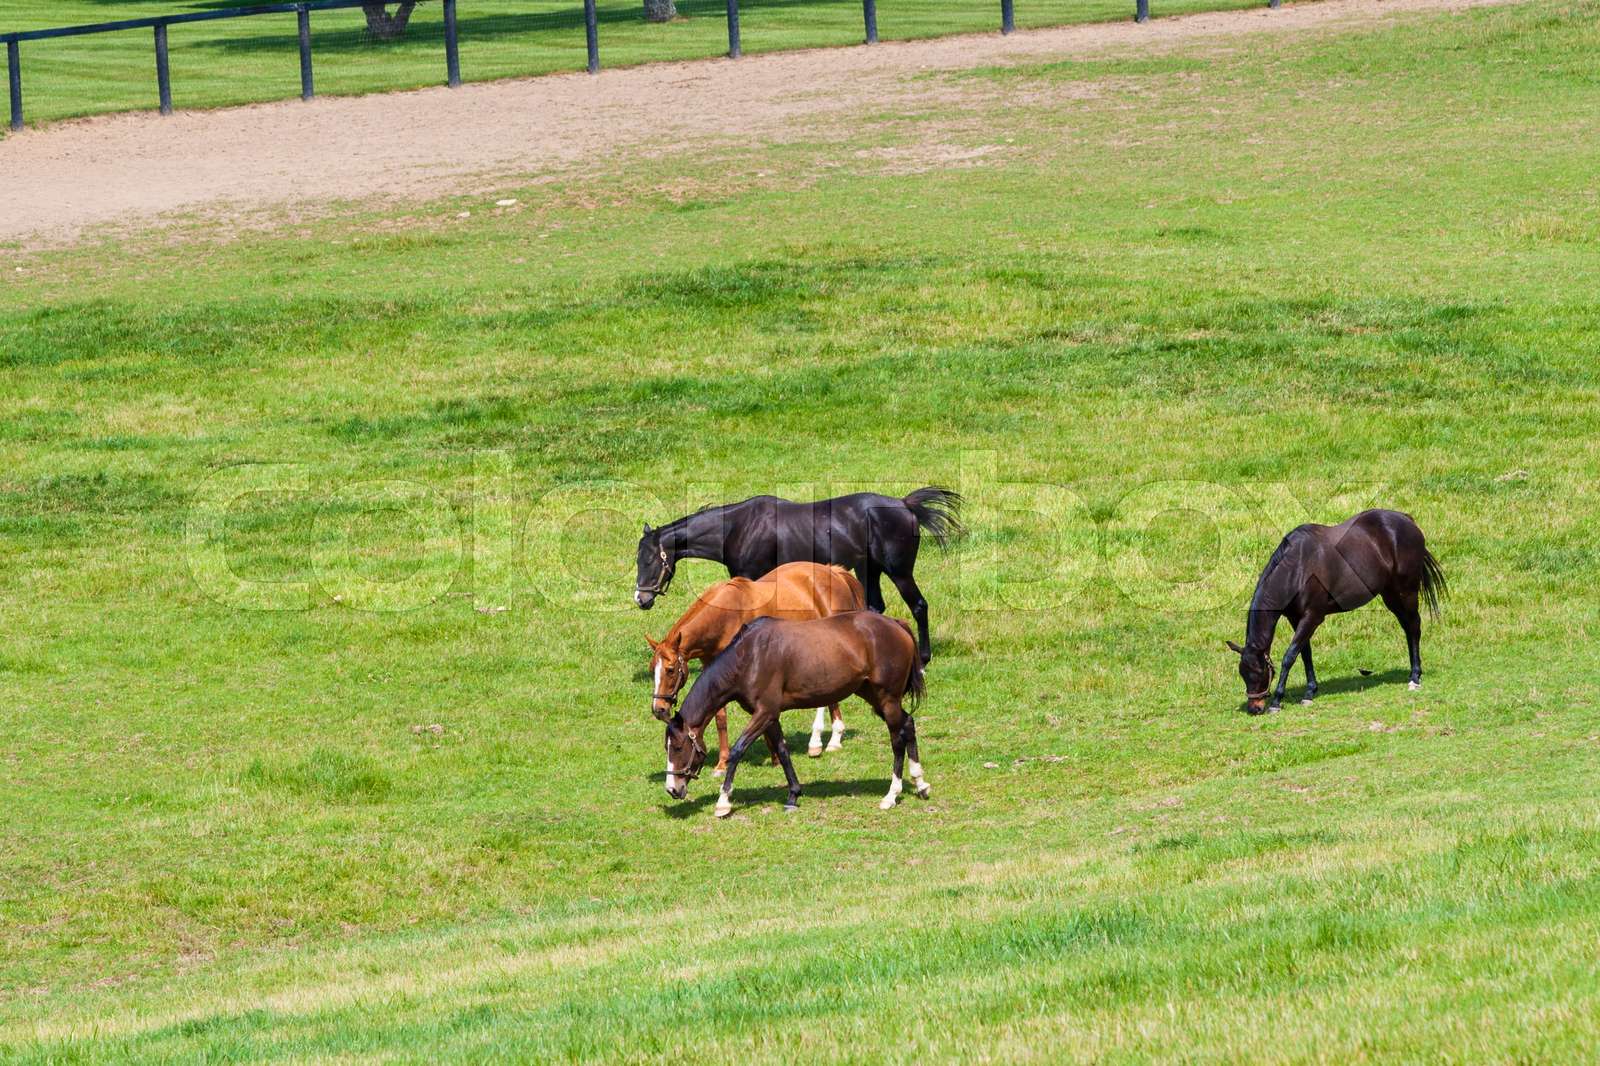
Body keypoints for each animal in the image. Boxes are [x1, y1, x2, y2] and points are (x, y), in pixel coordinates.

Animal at [633, 488, 962, 665]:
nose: (641, 598)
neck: (738, 527)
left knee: (919, 605)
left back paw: (924, 657)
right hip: (868, 569)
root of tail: (906, 505)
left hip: (899, 572)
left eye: (648, 559)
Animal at [646, 562, 866, 772]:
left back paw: (827, 741)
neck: (725, 616)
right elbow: (720, 717)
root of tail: (835, 572)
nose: (659, 709)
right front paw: (722, 763)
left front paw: (775, 756)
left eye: (670, 670)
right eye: (652, 670)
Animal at [663, 611, 929, 818]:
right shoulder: (770, 717)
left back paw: (891, 795)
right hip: (874, 697)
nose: (672, 789)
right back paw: (920, 783)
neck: (749, 657)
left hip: (887, 699)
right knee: (908, 724)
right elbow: (782, 750)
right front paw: (793, 795)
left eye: (677, 747)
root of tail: (897, 624)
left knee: (897, 741)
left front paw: (723, 802)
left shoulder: (763, 713)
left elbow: (737, 751)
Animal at [1227, 509, 1446, 714]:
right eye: (1242, 674)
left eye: (1259, 672)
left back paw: (1415, 677)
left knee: (1414, 627)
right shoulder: (1296, 618)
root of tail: (1407, 520)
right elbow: (1305, 653)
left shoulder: (1312, 617)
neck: (1298, 568)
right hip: (1391, 595)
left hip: (1406, 592)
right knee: (1408, 628)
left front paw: (1276, 701)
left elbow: (1290, 656)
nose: (1254, 708)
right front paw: (1309, 692)